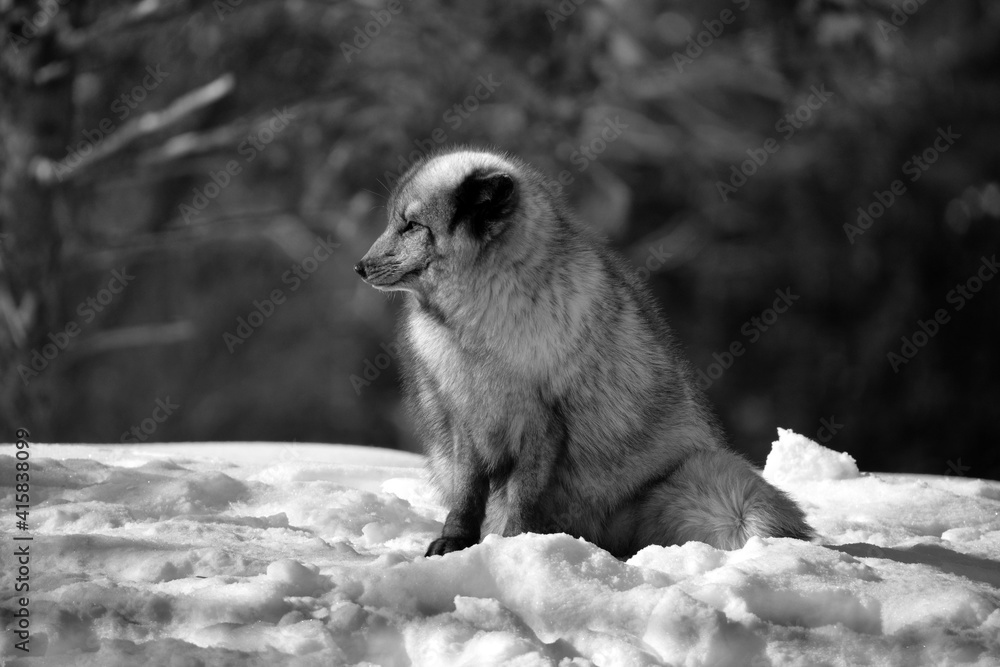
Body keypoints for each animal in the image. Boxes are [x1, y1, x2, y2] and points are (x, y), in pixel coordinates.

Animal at [355, 148, 814, 559]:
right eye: (393, 221)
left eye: (412, 225)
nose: (359, 267)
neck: (477, 330)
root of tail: (608, 539)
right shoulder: (466, 415)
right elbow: (467, 495)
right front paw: (455, 542)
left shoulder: (544, 420)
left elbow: (523, 495)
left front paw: (511, 544)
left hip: (717, 488)